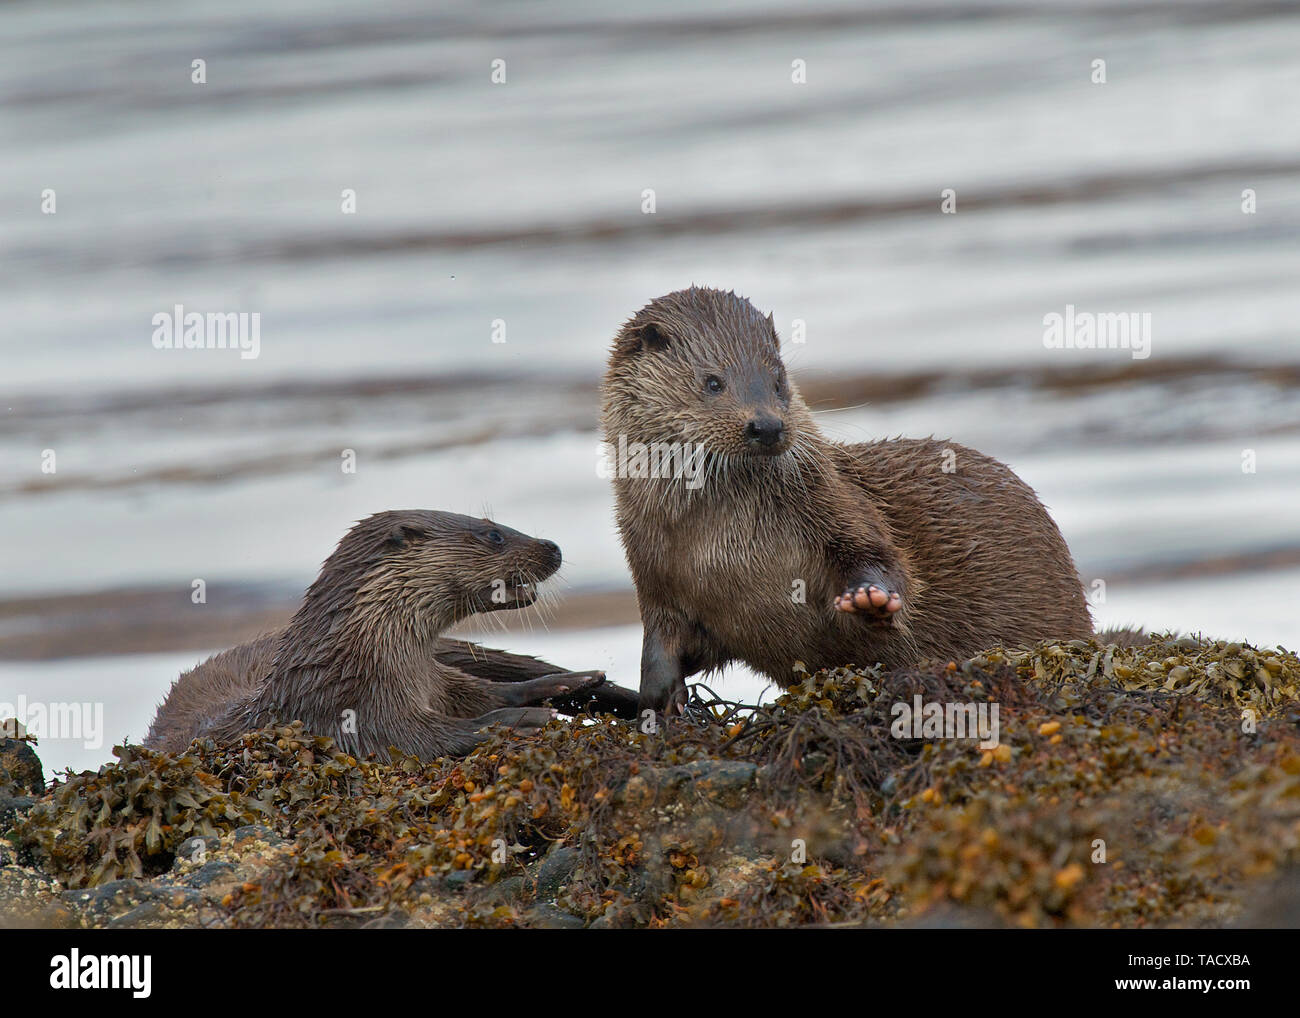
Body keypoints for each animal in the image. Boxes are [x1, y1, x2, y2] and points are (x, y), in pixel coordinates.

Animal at [145, 510, 637, 759]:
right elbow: (423, 739)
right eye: (494, 534)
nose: (553, 546)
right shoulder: (351, 715)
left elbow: (485, 692)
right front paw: (521, 720)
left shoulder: (437, 679)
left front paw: (564, 684)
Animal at [601, 286, 1093, 715]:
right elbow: (661, 640)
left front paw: (869, 598)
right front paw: (657, 696)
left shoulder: (837, 506)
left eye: (777, 381)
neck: (723, 546)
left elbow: (882, 558)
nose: (767, 425)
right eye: (712, 382)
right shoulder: (653, 572)